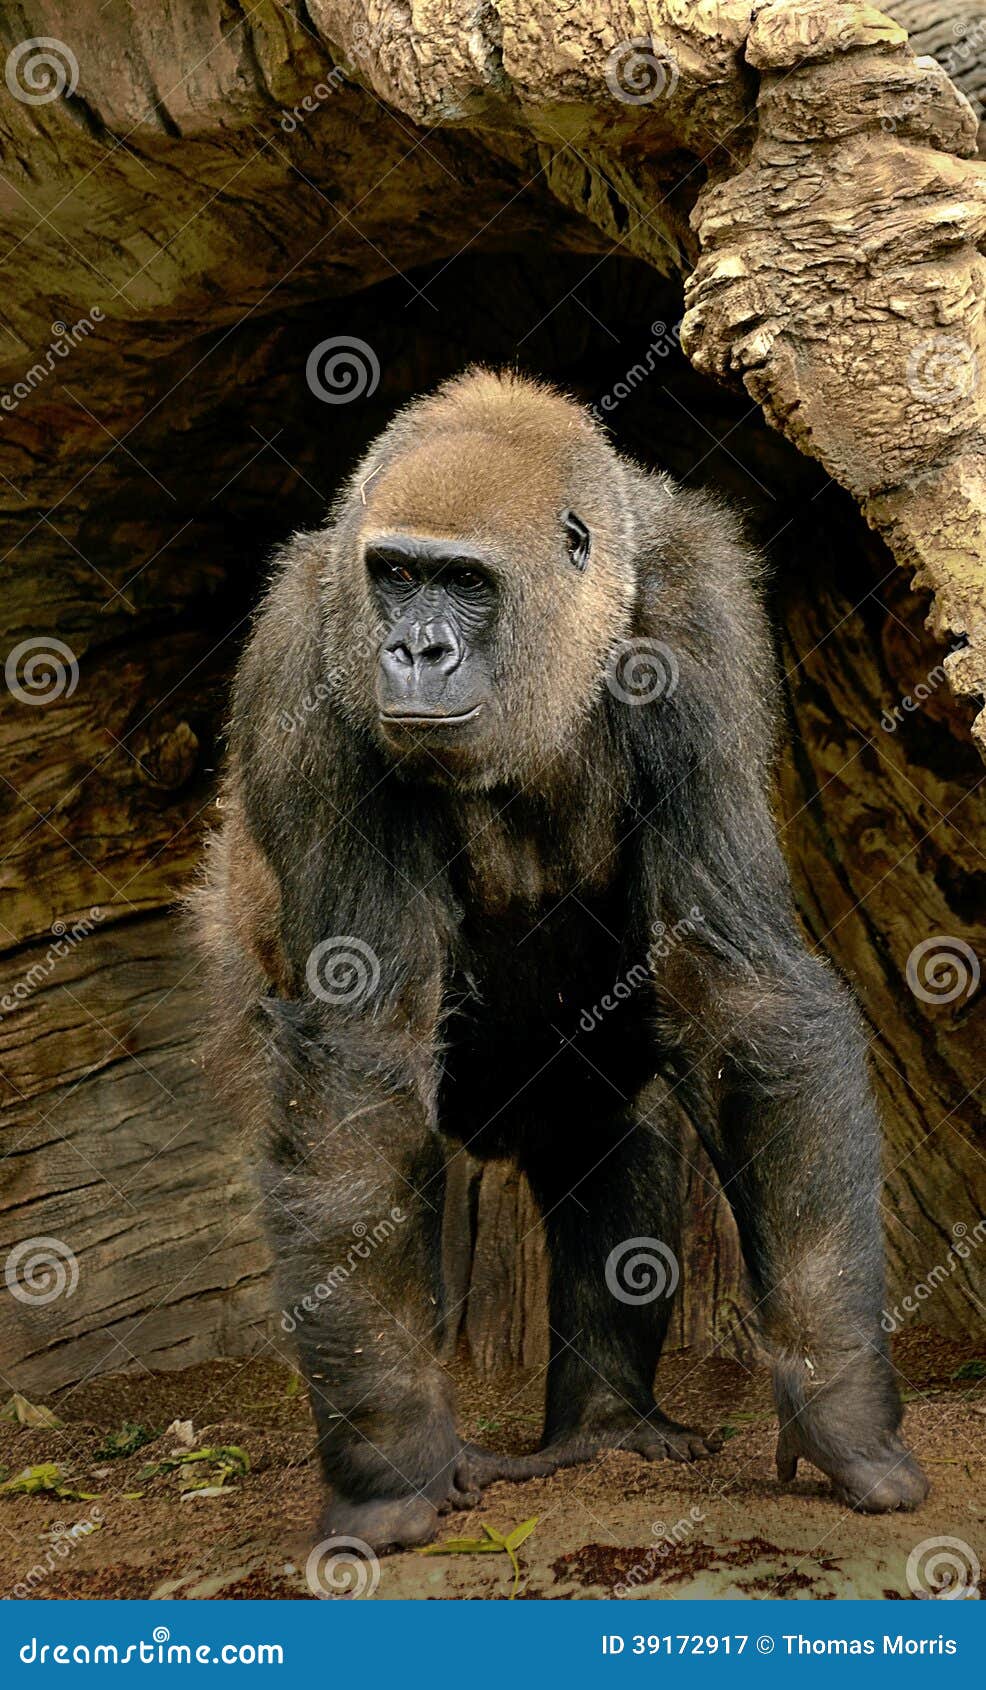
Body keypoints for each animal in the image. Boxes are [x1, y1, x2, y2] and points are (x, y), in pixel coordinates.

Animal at [197, 368, 928, 1553]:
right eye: (393, 578)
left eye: (464, 583)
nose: (416, 653)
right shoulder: (300, 663)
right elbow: (359, 1059)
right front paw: (393, 1464)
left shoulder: (697, 623)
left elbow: (743, 991)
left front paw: (841, 1402)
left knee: (608, 1125)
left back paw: (605, 1420)